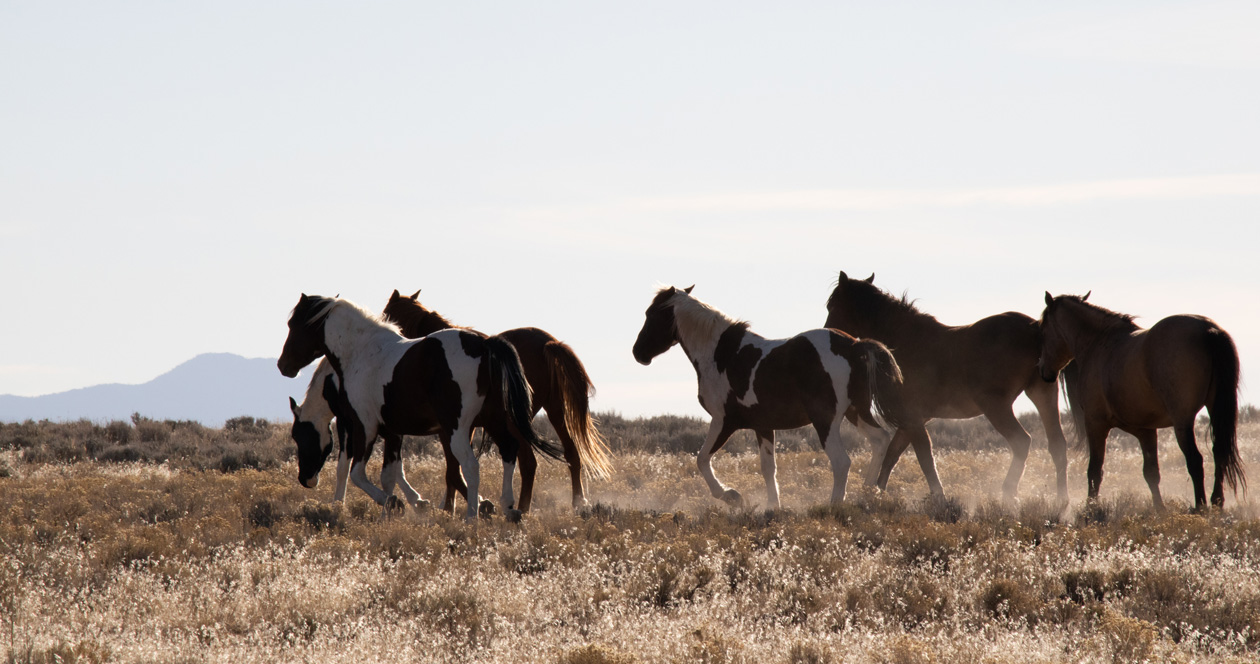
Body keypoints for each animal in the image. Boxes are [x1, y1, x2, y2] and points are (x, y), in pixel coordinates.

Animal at [277, 294, 564, 521]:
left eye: (293, 325)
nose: (283, 365)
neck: (362, 352)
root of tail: (483, 344)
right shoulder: (392, 432)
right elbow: (389, 475)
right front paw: (392, 512)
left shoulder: (363, 427)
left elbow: (356, 473)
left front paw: (393, 504)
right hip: (492, 422)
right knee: (508, 453)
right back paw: (508, 507)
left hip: (458, 429)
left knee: (471, 466)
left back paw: (472, 516)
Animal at [382, 289, 613, 509]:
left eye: (387, 314)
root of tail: (549, 343)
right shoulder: (463, 427)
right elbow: (453, 471)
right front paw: (452, 506)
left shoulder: (449, 429)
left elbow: (453, 471)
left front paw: (462, 505)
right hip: (555, 411)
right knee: (571, 454)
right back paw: (576, 503)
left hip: (516, 422)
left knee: (528, 461)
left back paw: (521, 507)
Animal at [632, 285, 906, 509]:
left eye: (651, 314)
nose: (638, 353)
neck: (721, 354)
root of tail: (853, 346)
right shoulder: (763, 426)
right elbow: (768, 469)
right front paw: (772, 507)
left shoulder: (723, 421)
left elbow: (701, 459)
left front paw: (732, 496)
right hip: (856, 412)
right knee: (880, 441)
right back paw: (867, 495)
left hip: (826, 421)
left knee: (842, 462)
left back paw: (835, 506)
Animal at [825, 271, 1070, 503]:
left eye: (832, 305)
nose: (829, 333)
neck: (906, 343)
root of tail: (1035, 328)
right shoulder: (911, 420)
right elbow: (893, 456)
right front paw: (878, 494)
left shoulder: (912, 418)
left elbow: (924, 457)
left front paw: (939, 497)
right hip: (1042, 393)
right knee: (1057, 445)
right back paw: (1061, 501)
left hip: (996, 405)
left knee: (1022, 442)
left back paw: (1009, 493)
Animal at [1037, 292, 1244, 510]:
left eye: (1042, 330)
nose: (1043, 370)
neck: (1099, 343)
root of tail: (1210, 330)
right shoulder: (1146, 431)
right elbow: (1151, 473)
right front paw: (1160, 508)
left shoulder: (1095, 423)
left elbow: (1094, 470)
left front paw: (1090, 507)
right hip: (1215, 410)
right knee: (1219, 452)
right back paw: (1216, 501)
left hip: (1183, 422)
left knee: (1195, 460)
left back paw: (1200, 506)